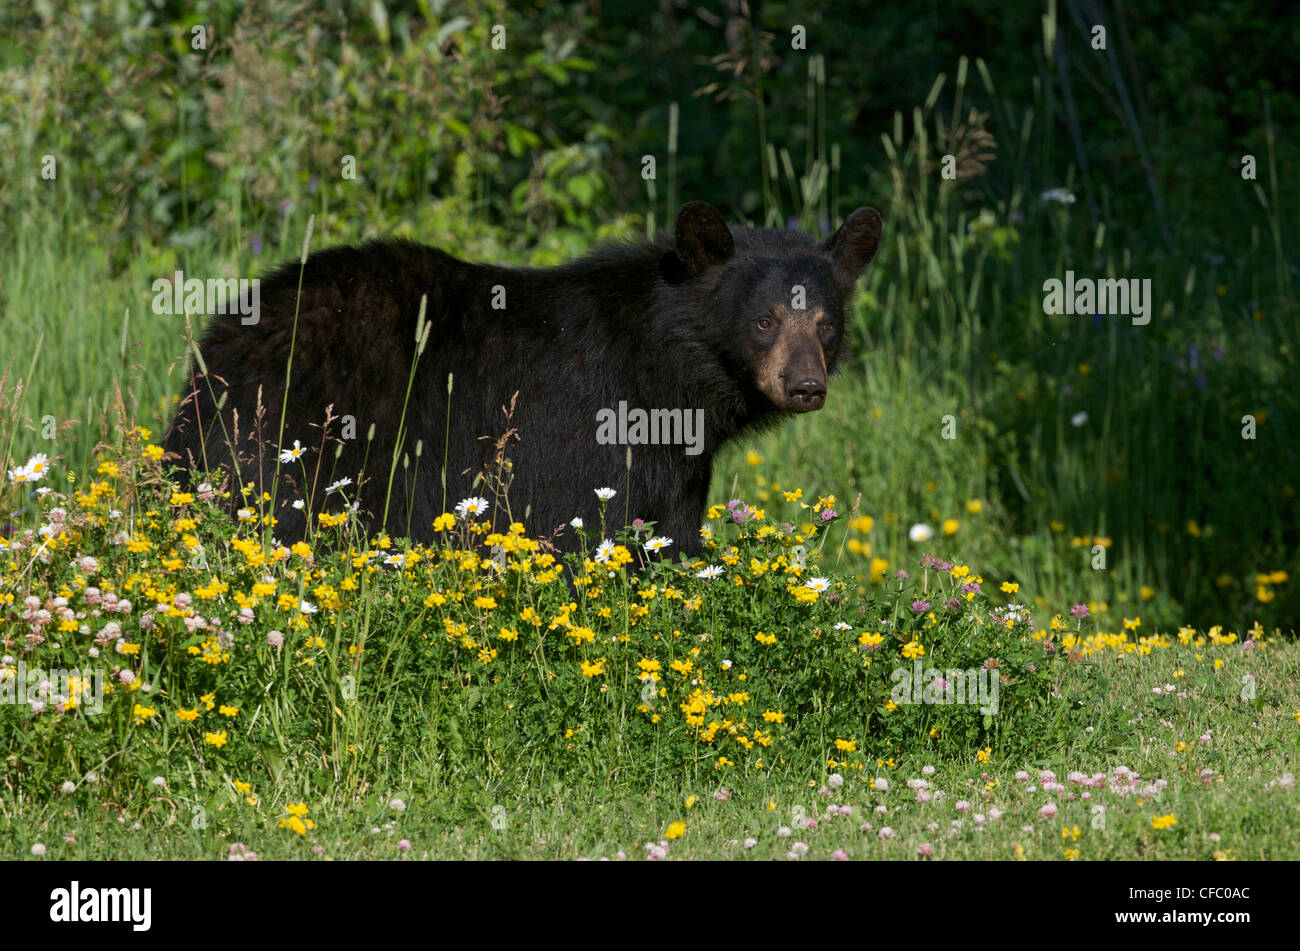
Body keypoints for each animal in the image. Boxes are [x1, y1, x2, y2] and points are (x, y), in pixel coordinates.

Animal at [162, 201, 882, 555]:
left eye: (825, 323)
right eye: (764, 320)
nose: (806, 386)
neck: (670, 369)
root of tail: (220, 340)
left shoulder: (677, 457)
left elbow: (673, 532)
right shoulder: (592, 430)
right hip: (292, 431)